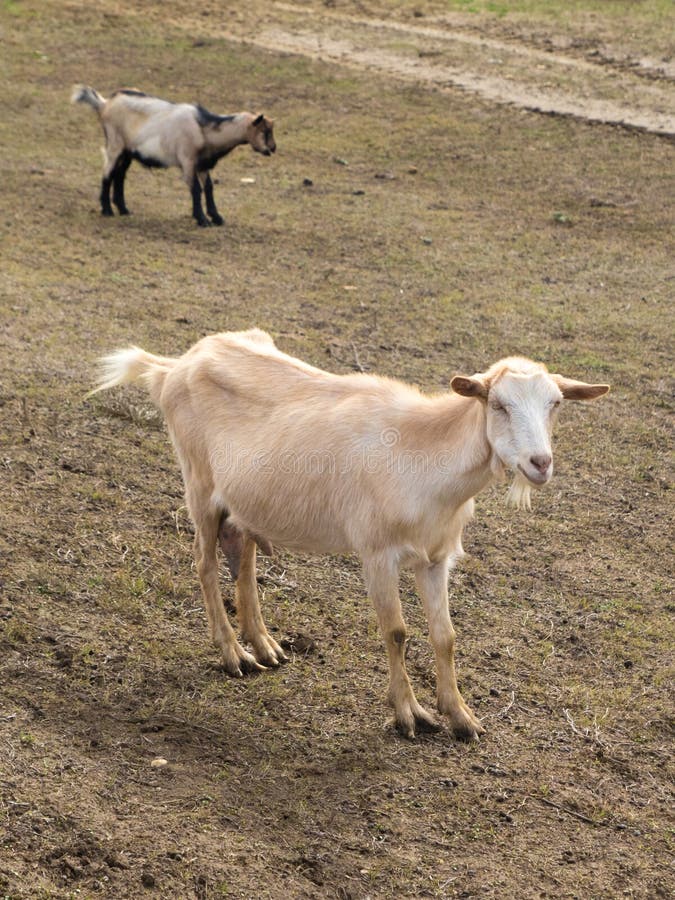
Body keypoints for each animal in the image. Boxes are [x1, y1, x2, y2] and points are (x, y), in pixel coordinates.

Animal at [71, 86, 276, 226]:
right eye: (264, 131)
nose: (272, 149)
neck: (204, 129)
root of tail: (104, 104)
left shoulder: (202, 164)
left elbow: (209, 188)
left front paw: (217, 217)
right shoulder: (187, 161)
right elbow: (196, 190)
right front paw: (202, 220)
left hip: (128, 151)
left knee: (119, 175)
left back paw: (123, 209)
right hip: (115, 144)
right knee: (107, 174)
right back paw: (107, 210)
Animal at [92, 330, 609, 740]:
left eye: (555, 405)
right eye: (498, 405)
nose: (540, 463)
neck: (424, 458)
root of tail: (176, 365)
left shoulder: (436, 556)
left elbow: (445, 635)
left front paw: (461, 717)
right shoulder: (377, 553)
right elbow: (397, 632)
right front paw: (409, 714)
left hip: (246, 500)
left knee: (245, 558)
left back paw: (265, 645)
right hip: (198, 482)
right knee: (204, 563)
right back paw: (234, 655)